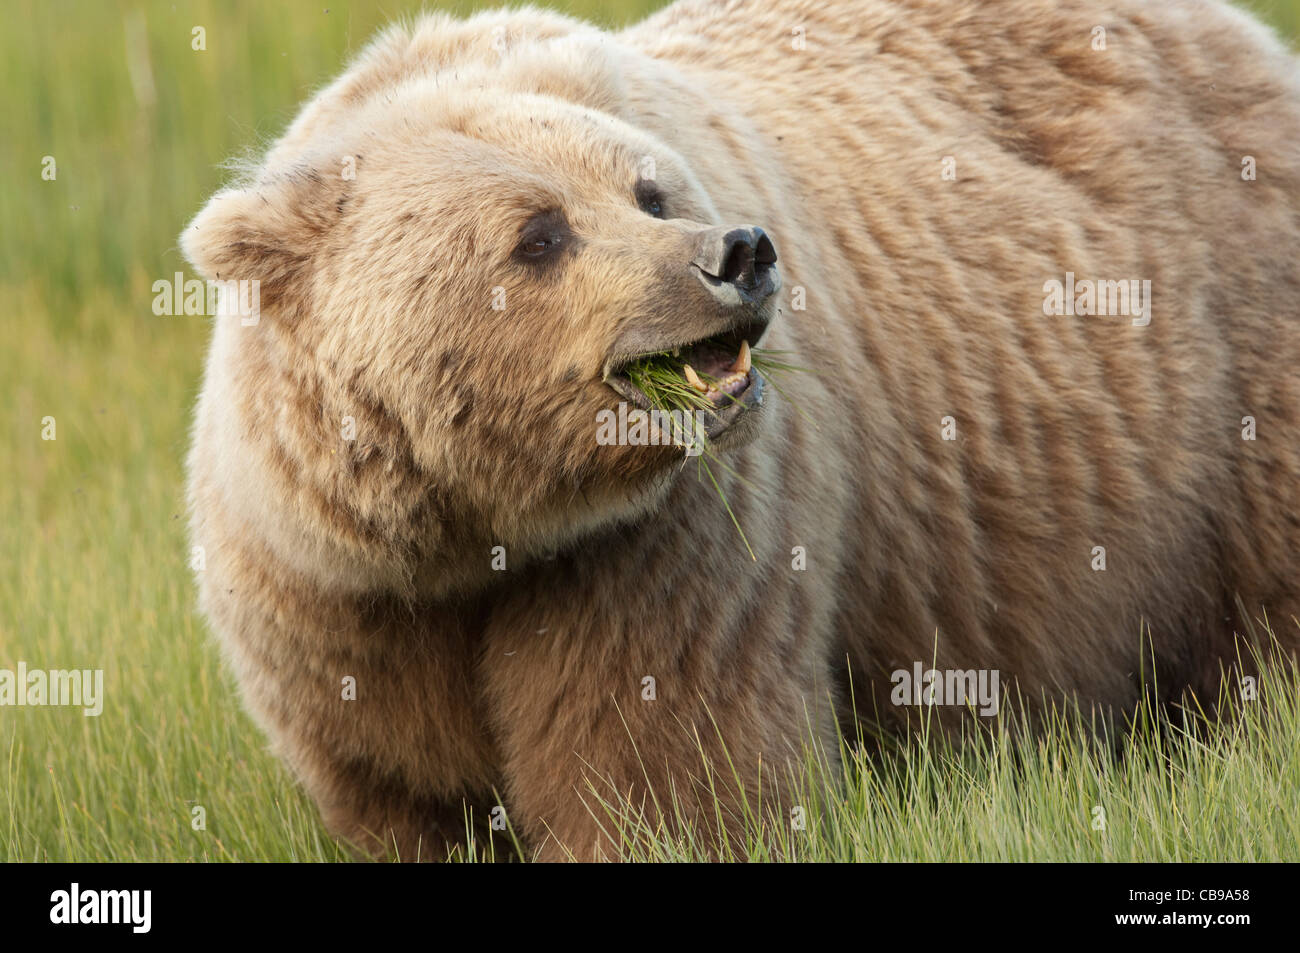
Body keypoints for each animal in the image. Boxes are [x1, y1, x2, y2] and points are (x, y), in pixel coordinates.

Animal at [183, 0, 1300, 861]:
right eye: (539, 233)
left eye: (646, 189)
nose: (738, 252)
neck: (485, 526)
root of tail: (1234, 31)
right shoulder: (341, 605)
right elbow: (409, 791)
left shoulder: (665, 543)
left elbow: (665, 761)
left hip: (1235, 381)